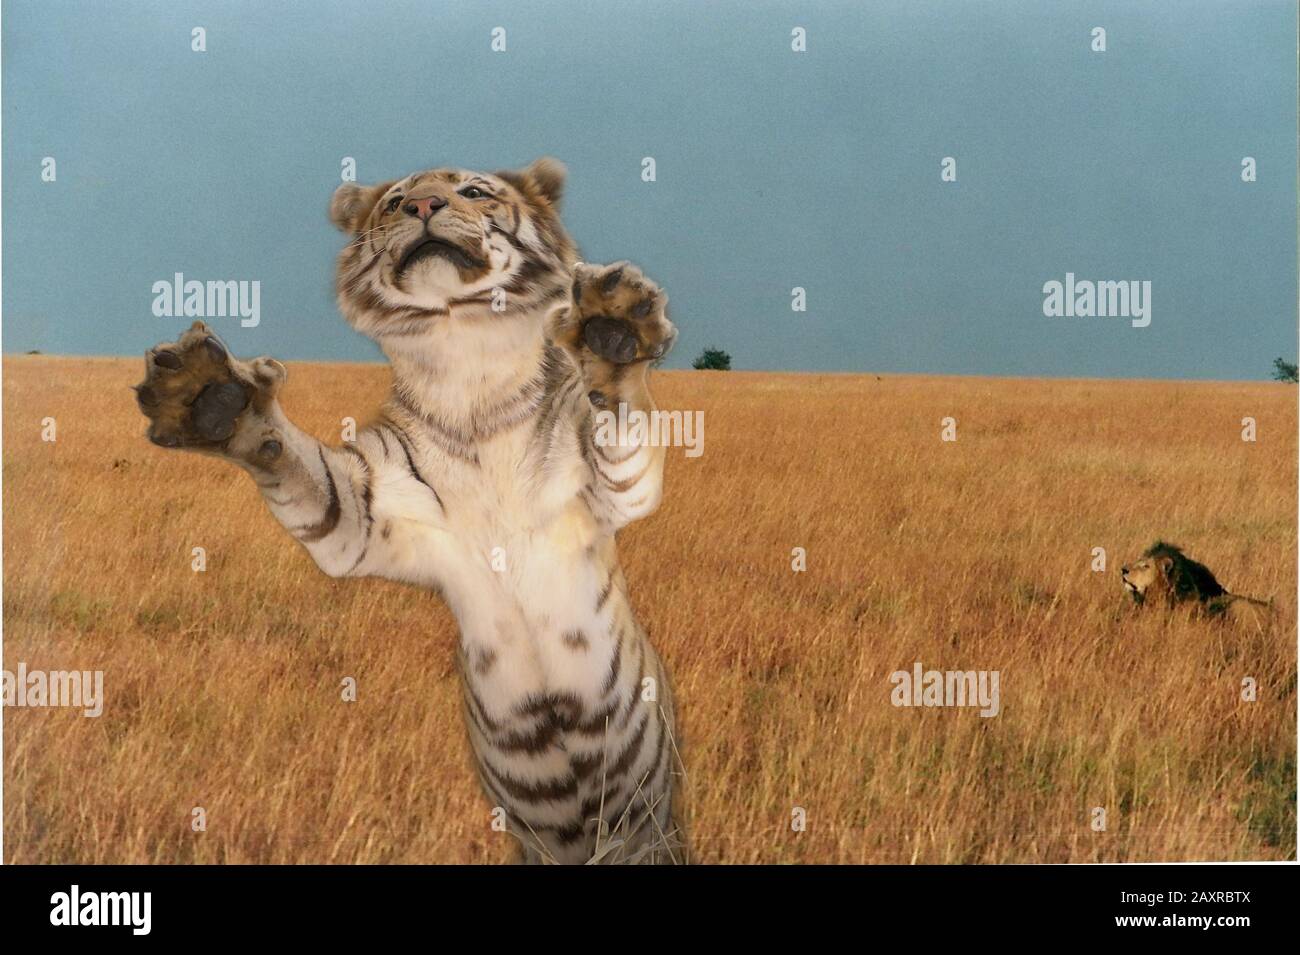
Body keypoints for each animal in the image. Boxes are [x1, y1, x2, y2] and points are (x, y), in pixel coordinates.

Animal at [134, 158, 684, 864]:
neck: (463, 359)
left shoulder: (608, 493)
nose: (422, 205)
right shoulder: (366, 519)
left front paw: (612, 326)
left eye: (473, 191)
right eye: (395, 202)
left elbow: (617, 416)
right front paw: (209, 398)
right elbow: (302, 470)